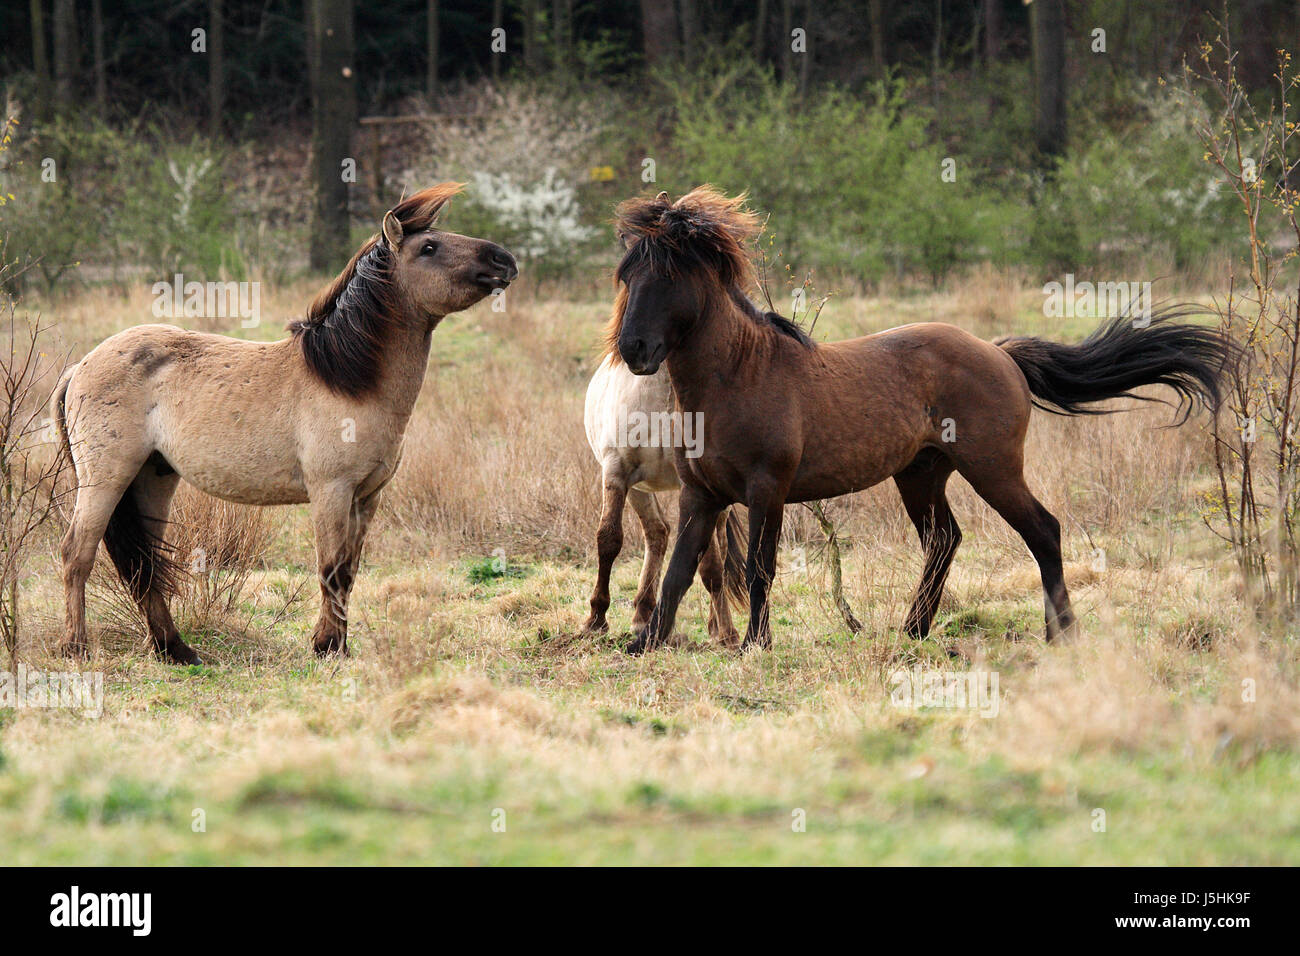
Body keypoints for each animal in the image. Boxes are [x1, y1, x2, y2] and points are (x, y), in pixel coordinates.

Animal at [54, 183, 517, 664]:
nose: (503, 260)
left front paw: (339, 645)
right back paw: (76, 647)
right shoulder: (331, 491)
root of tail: (80, 367)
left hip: (152, 479)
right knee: (77, 553)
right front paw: (326, 647)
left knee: (143, 563)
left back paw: (175, 650)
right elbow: (331, 570)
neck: (345, 379)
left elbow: (349, 571)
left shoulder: (367, 497)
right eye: (429, 248)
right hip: (106, 478)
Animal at [582, 355, 746, 646]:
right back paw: (642, 616)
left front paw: (727, 633)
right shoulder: (616, 471)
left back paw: (714, 625)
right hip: (639, 489)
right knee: (657, 531)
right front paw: (596, 619)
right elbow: (609, 539)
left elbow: (711, 564)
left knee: (721, 547)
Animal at [607, 186, 1233, 654]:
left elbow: (761, 568)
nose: (633, 348)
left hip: (992, 469)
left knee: (1042, 530)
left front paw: (755, 646)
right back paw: (915, 629)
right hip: (922, 474)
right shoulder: (701, 495)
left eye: (667, 276)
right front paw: (646, 643)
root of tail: (1001, 353)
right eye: (627, 275)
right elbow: (680, 571)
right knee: (945, 540)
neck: (739, 376)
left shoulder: (768, 489)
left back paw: (1060, 634)